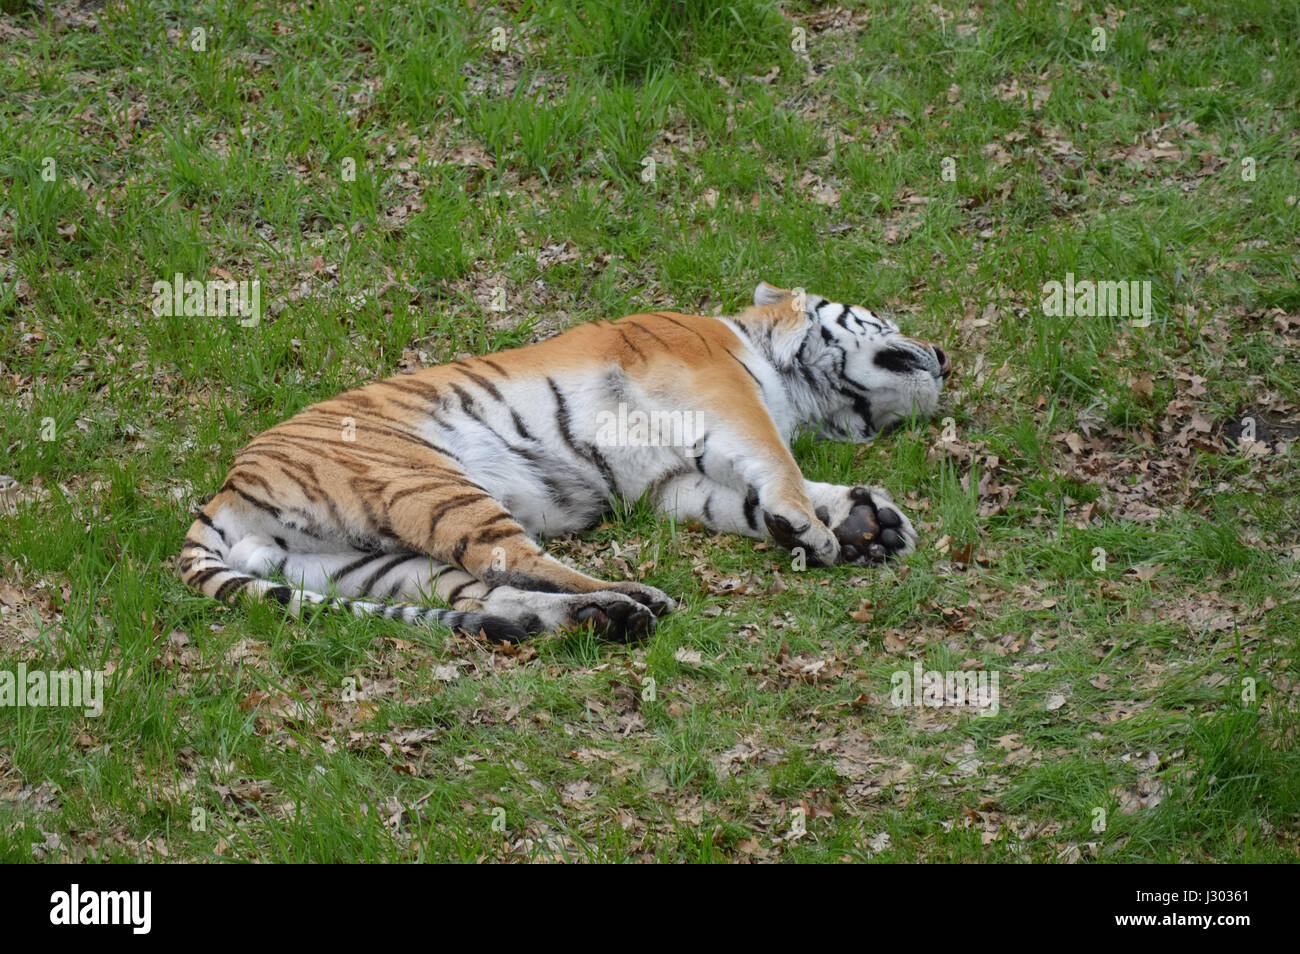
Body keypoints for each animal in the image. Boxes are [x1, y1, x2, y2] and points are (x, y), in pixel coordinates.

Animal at [178, 282, 950, 643]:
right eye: (886, 320)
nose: (944, 353)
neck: (799, 388)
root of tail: (222, 492)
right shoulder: (722, 394)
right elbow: (778, 465)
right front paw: (819, 527)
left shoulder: (671, 482)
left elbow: (749, 497)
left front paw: (866, 521)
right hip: (425, 480)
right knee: (514, 560)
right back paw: (636, 599)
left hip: (364, 564)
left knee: (485, 593)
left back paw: (600, 616)